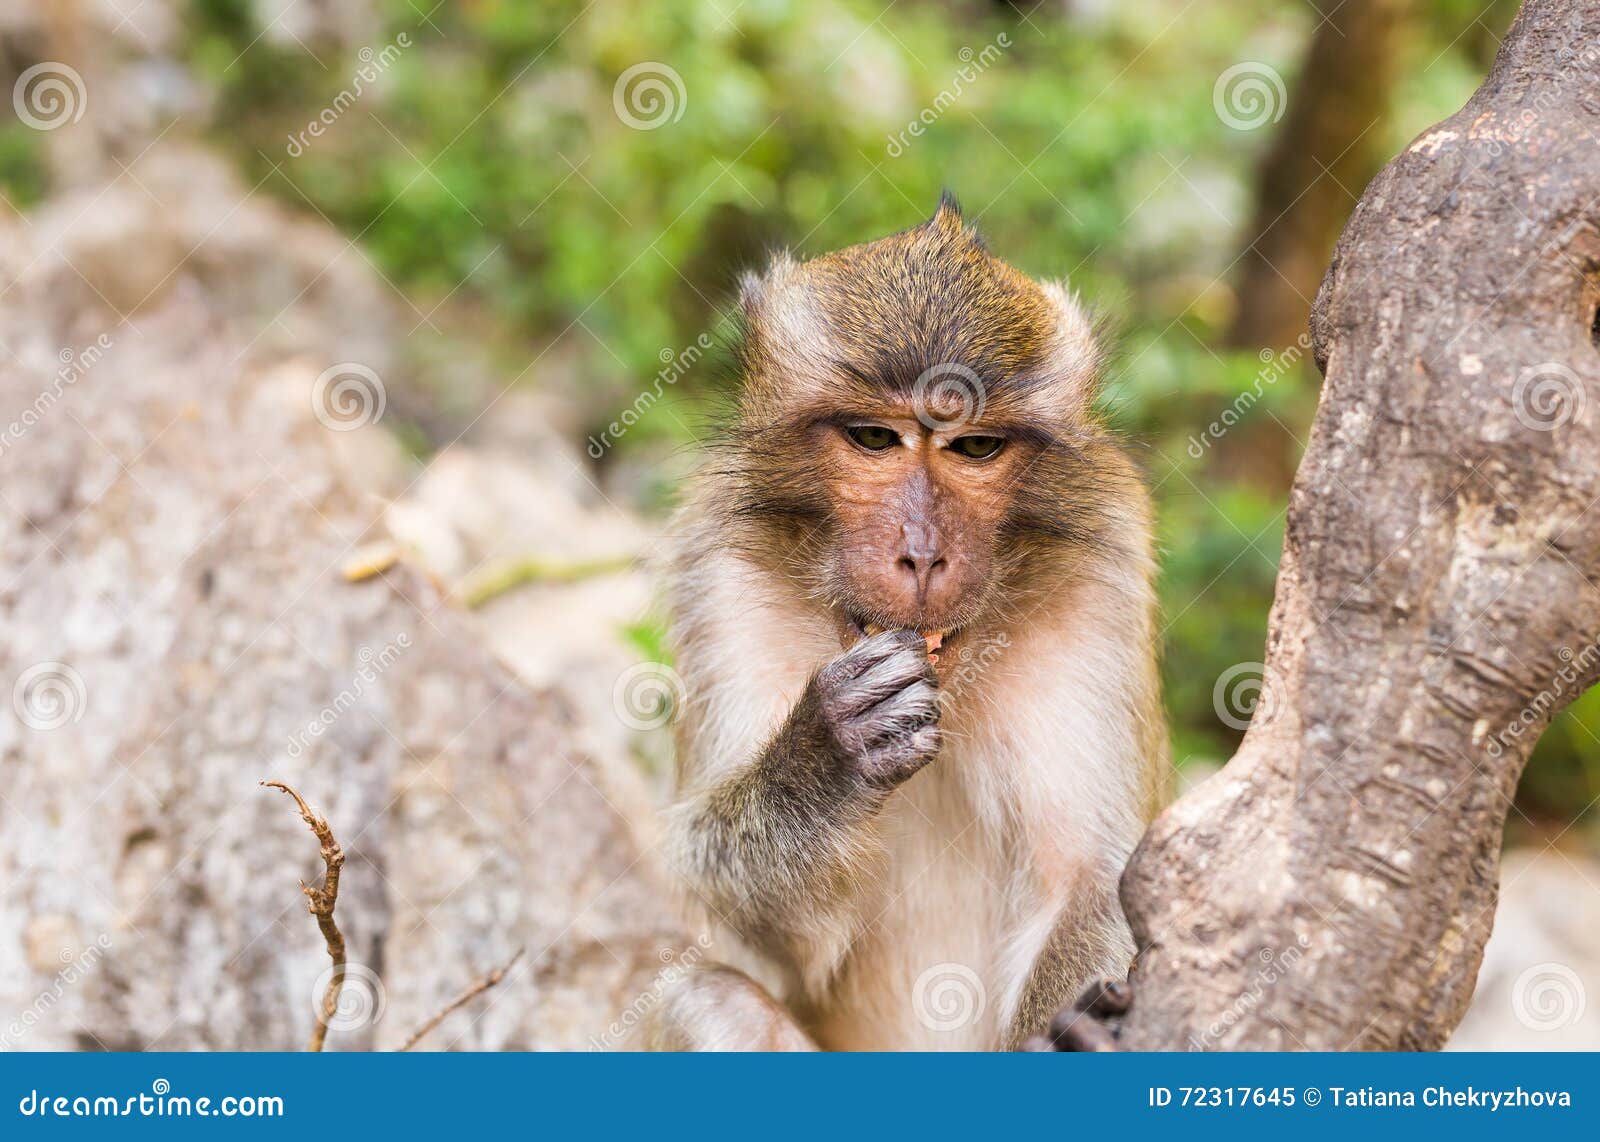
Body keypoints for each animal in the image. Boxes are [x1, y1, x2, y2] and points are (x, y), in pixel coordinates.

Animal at [648, 194, 1167, 1051]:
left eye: (976, 447)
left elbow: (1094, 879)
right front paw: (827, 760)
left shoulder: (1103, 575)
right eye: (874, 438)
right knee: (704, 998)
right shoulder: (718, 571)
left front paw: (1062, 1036)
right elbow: (740, 918)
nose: (922, 555)